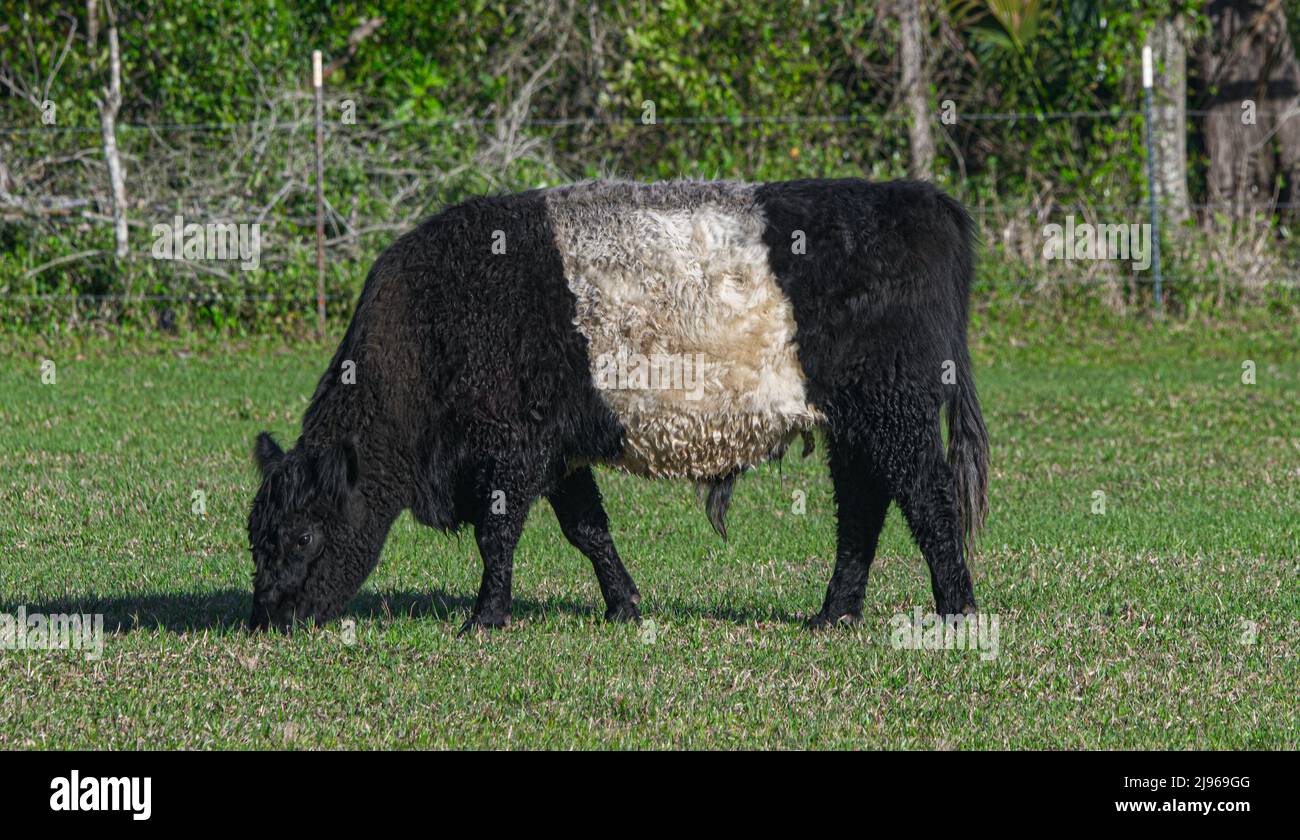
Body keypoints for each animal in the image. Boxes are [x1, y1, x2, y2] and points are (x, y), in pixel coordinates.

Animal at [247, 178, 989, 634]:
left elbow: (497, 534)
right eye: (257, 538)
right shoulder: (557, 448)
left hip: (894, 410)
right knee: (863, 509)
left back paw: (956, 612)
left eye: (305, 535)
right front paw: (624, 606)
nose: (266, 620)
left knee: (927, 499)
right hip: (856, 423)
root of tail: (917, 197)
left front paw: (484, 618)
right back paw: (833, 614)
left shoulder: (510, 445)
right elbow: (588, 530)